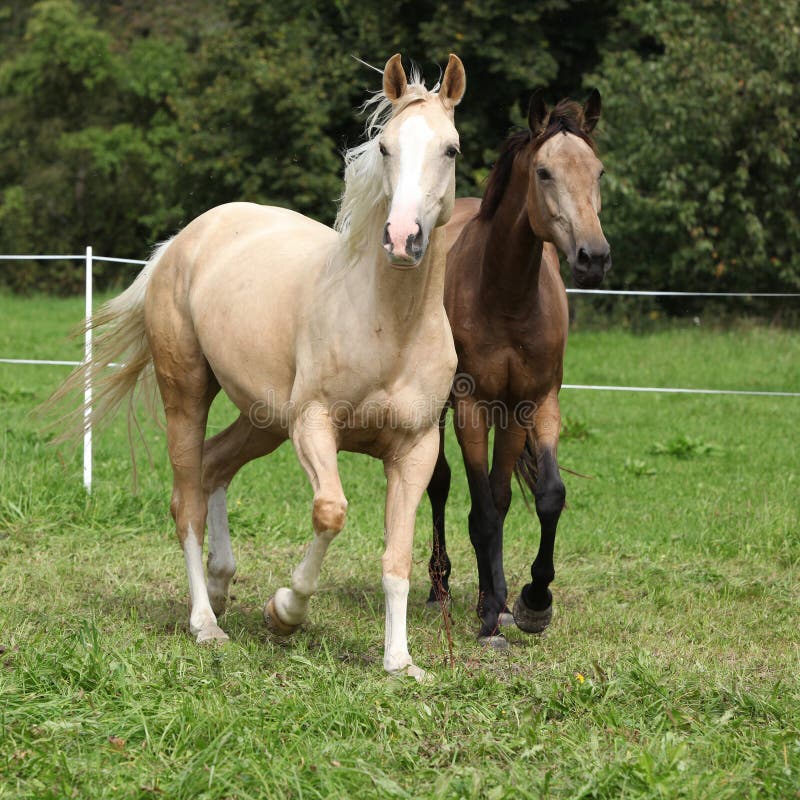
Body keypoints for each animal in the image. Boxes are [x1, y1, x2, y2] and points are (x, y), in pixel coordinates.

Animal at [56, 54, 466, 680]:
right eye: (386, 146)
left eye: (450, 149)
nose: (403, 238)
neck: (390, 327)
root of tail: (184, 240)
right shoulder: (314, 425)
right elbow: (330, 512)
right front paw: (285, 611)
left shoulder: (415, 449)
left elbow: (396, 557)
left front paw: (400, 662)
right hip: (190, 394)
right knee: (186, 503)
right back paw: (206, 623)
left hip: (263, 420)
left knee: (214, 466)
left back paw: (222, 587)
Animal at [425, 90, 610, 647]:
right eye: (544, 172)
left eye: (598, 171)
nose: (594, 257)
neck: (505, 295)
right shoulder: (470, 406)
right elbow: (481, 510)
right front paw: (489, 618)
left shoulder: (533, 402)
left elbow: (540, 496)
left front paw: (528, 602)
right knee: (439, 484)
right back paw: (439, 586)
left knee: (501, 493)